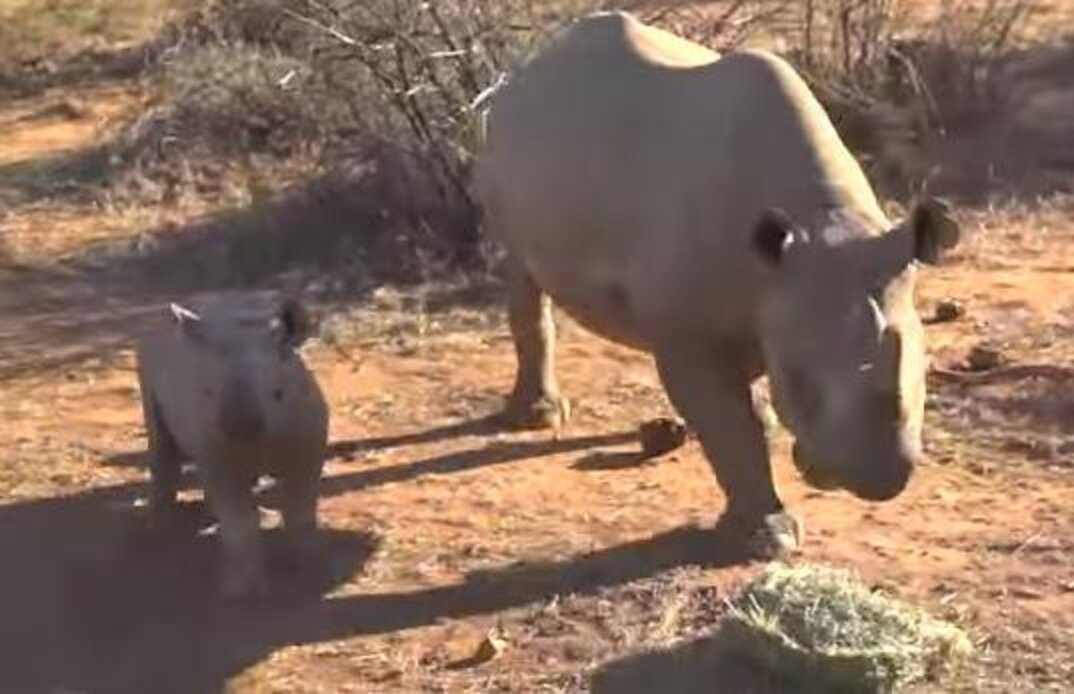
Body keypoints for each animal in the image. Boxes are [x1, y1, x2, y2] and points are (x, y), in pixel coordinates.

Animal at [135, 290, 329, 596]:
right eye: (207, 392)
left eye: (279, 394)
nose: (239, 430)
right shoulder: (217, 452)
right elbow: (238, 517)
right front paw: (240, 589)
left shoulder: (307, 442)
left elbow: (301, 510)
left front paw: (311, 569)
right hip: (147, 361)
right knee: (162, 445)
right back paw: (160, 529)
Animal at [472, 12, 960, 556]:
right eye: (799, 381)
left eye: (923, 369)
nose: (880, 480)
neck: (822, 221)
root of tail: (529, 70)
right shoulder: (685, 331)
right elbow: (727, 428)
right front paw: (767, 538)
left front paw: (765, 427)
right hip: (501, 147)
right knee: (521, 271)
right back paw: (538, 417)